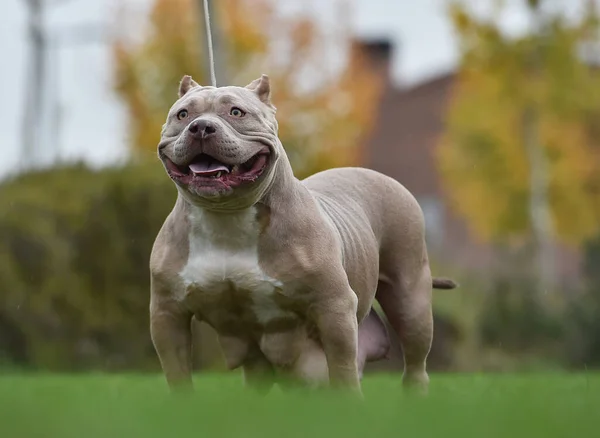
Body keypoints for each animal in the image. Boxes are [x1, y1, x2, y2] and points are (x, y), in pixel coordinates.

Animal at [149, 73, 454, 396]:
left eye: (236, 112)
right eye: (183, 115)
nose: (201, 127)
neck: (226, 216)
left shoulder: (333, 307)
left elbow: (342, 369)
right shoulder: (167, 314)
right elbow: (177, 373)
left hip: (410, 298)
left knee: (414, 360)